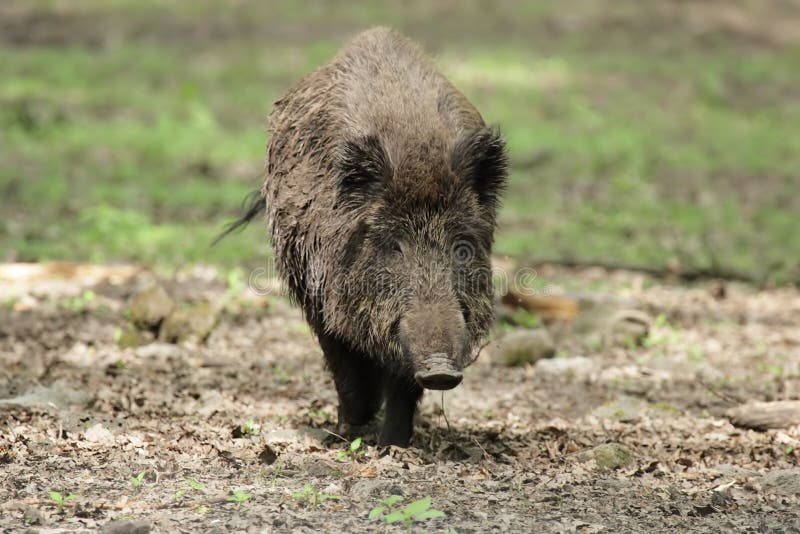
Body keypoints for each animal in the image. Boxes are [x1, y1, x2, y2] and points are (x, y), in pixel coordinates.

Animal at [220, 27, 508, 446]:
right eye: (394, 245)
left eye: (461, 245)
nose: (441, 370)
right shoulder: (319, 295)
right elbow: (345, 365)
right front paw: (346, 434)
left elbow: (401, 382)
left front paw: (393, 444)